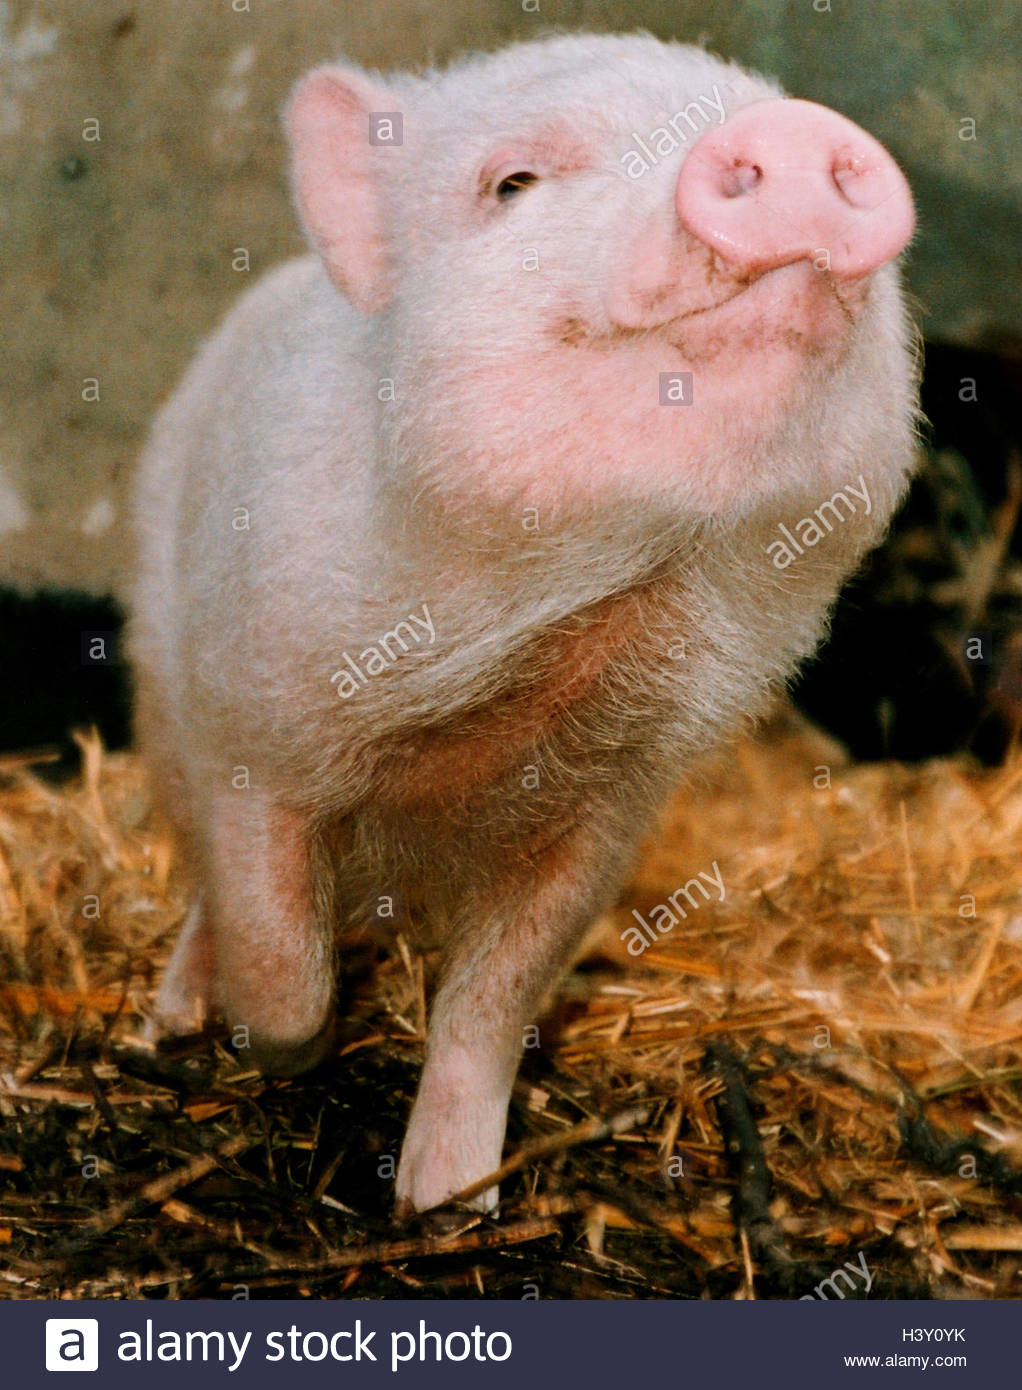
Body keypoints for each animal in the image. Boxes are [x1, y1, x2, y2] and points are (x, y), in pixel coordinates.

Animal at [129, 33, 918, 1216]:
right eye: (512, 184)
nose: (788, 130)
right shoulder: (251, 729)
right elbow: (282, 966)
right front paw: (271, 1052)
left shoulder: (612, 804)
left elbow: (499, 994)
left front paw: (449, 1204)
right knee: (197, 884)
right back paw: (174, 1018)